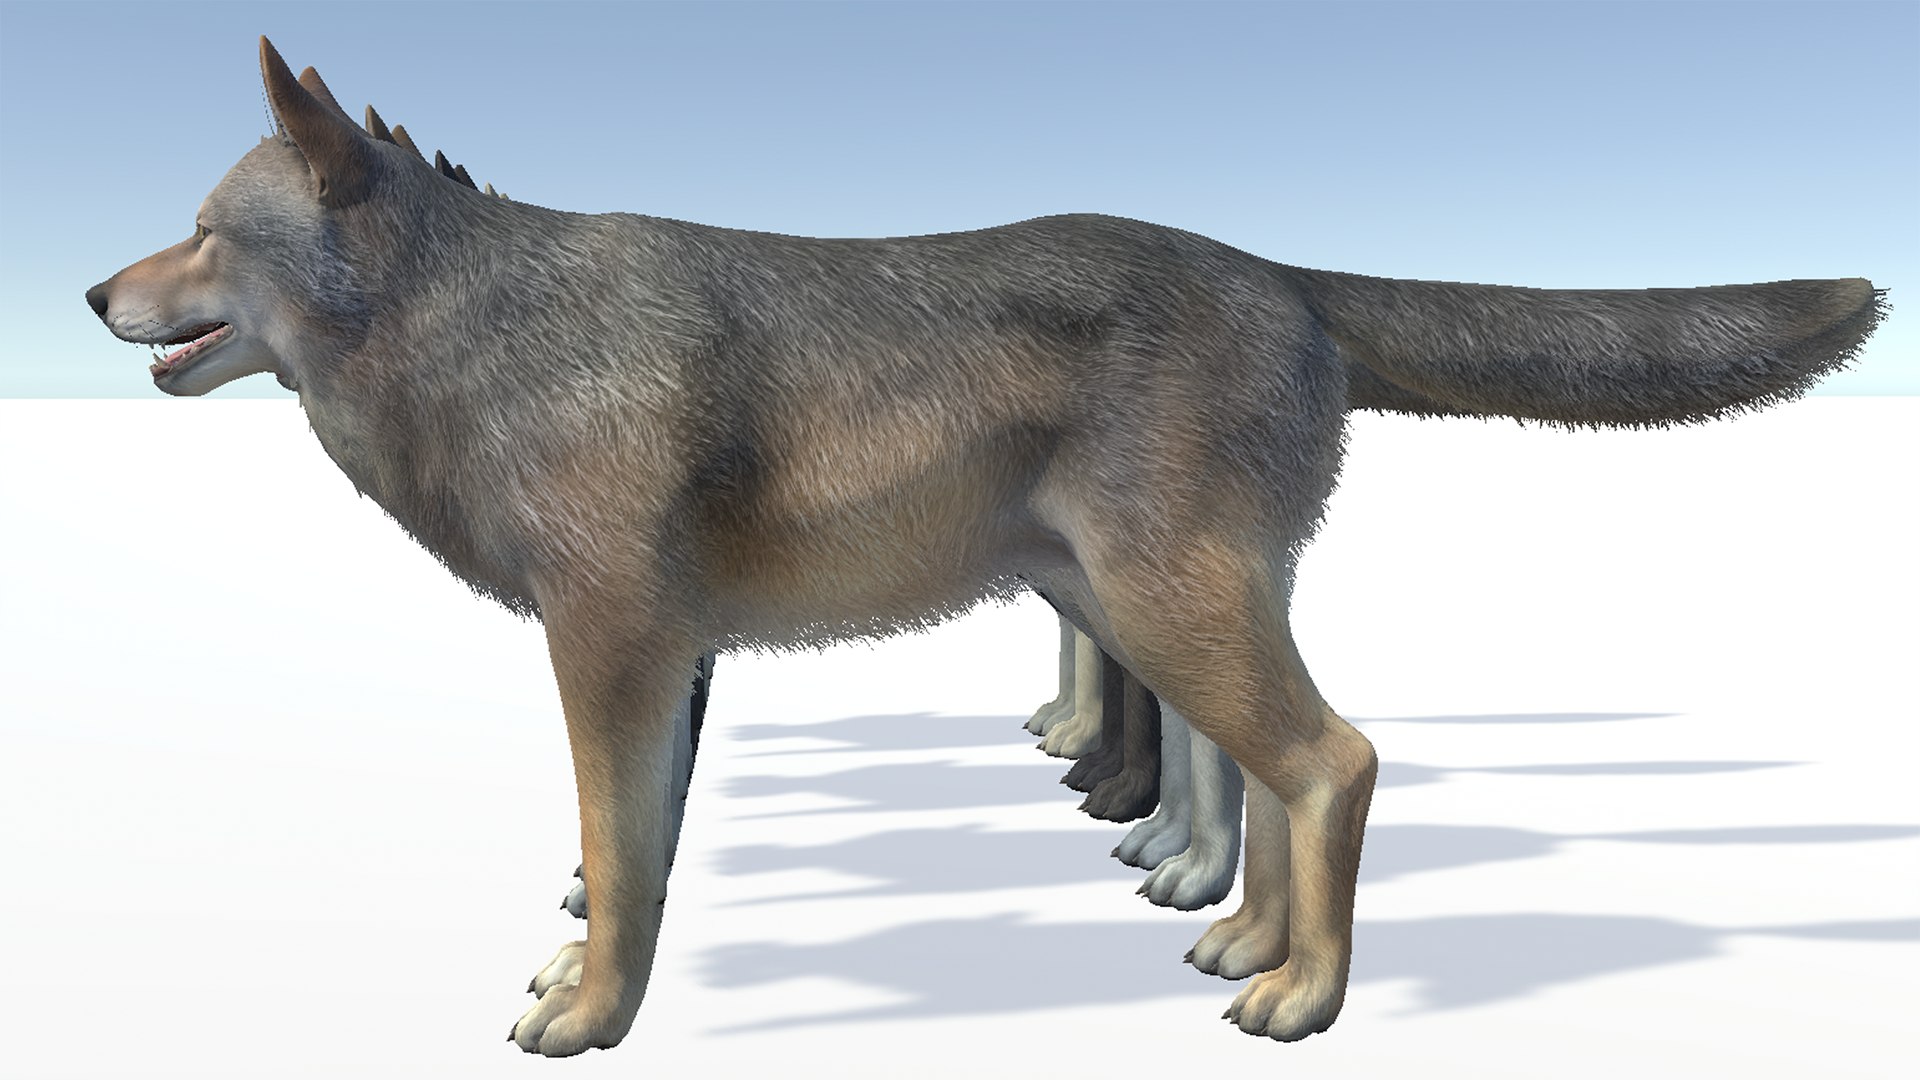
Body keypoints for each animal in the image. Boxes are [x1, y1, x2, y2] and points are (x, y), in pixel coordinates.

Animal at [85, 37, 1884, 1056]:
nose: (96, 294)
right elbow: (636, 851)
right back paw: (1235, 933)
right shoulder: (671, 661)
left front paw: (590, 1016)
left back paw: (1299, 998)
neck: (480, 329)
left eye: (203, 230)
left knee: (1335, 761)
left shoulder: (611, 652)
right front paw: (585, 955)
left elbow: (621, 850)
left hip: (1169, 607)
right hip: (1156, 603)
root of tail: (1279, 273)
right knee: (1261, 773)